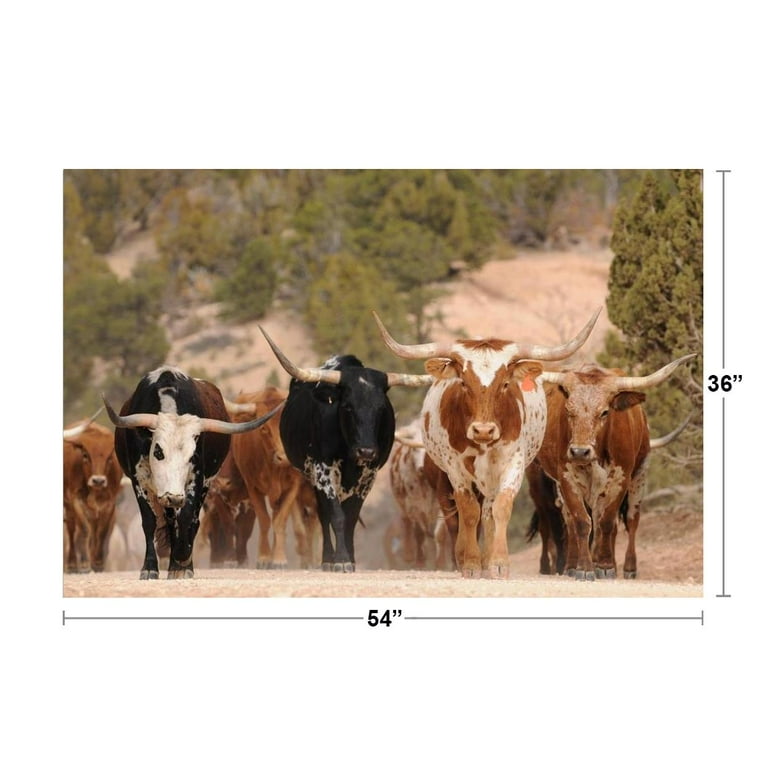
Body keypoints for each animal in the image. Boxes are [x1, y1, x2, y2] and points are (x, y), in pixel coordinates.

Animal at [63, 418, 123, 573]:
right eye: (85, 455)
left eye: (110, 457)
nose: (98, 480)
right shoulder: (75, 499)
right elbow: (84, 529)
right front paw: (85, 564)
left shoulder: (110, 503)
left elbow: (102, 532)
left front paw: (97, 563)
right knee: (72, 530)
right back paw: (72, 564)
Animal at [102, 366, 283, 579]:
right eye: (158, 452)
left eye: (191, 455)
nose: (173, 497)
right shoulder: (139, 480)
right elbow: (149, 522)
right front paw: (149, 568)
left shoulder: (197, 478)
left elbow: (186, 518)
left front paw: (182, 560)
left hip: (205, 485)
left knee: (189, 523)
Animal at [259, 327, 433, 572]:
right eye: (348, 407)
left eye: (381, 408)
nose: (366, 451)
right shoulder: (323, 470)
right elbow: (336, 516)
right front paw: (339, 559)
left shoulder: (368, 476)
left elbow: (350, 517)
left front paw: (349, 558)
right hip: (311, 476)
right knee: (323, 514)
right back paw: (326, 559)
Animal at [373, 309, 600, 578]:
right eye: (463, 382)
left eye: (505, 384)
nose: (483, 429)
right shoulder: (455, 470)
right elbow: (469, 513)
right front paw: (470, 563)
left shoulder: (513, 464)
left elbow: (500, 509)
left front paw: (498, 562)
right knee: (460, 518)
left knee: (489, 513)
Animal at [528, 355, 696, 580]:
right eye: (568, 411)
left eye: (604, 412)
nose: (579, 451)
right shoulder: (566, 478)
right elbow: (581, 522)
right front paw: (584, 568)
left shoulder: (620, 478)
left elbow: (607, 522)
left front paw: (606, 566)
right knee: (569, 523)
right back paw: (570, 565)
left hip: (638, 477)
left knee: (632, 520)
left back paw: (629, 568)